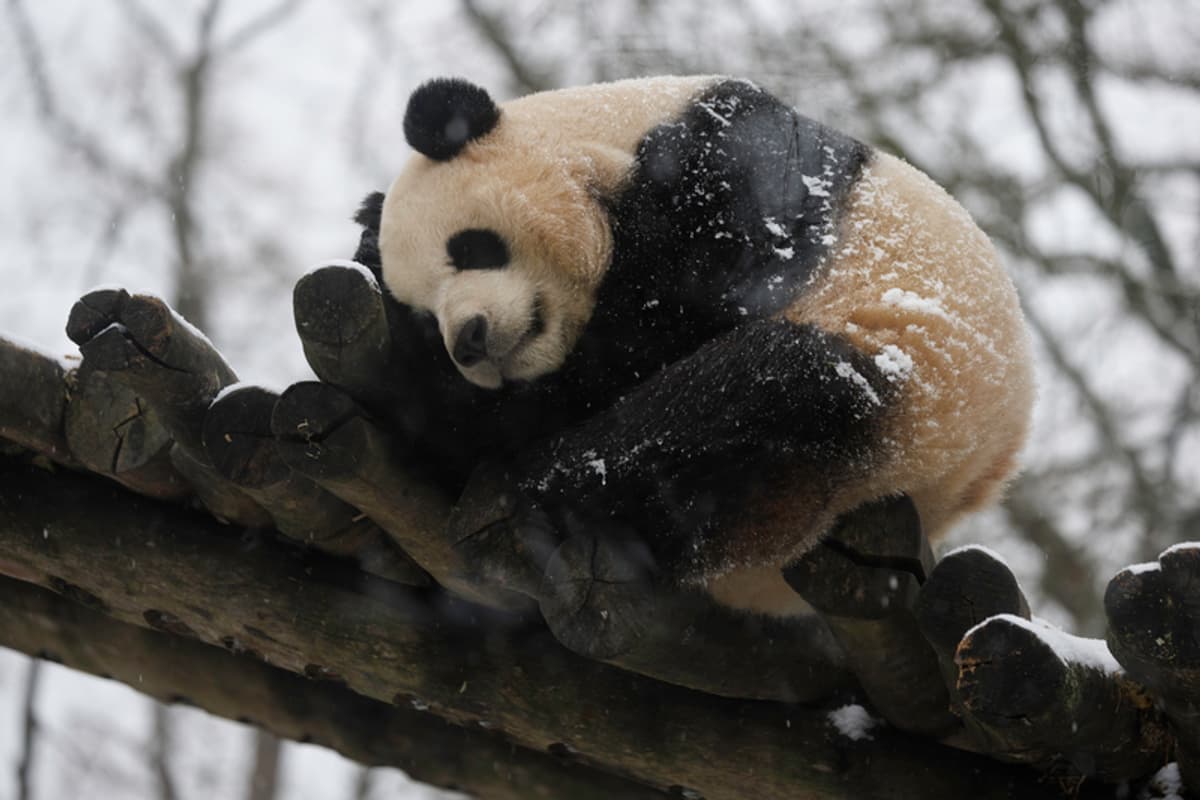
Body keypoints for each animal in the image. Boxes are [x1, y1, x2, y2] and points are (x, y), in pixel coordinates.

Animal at [353, 75, 1034, 617]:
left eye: (470, 247)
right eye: (425, 312)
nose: (466, 342)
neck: (608, 128)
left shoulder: (736, 163)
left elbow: (671, 312)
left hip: (908, 392)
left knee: (758, 390)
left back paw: (522, 478)